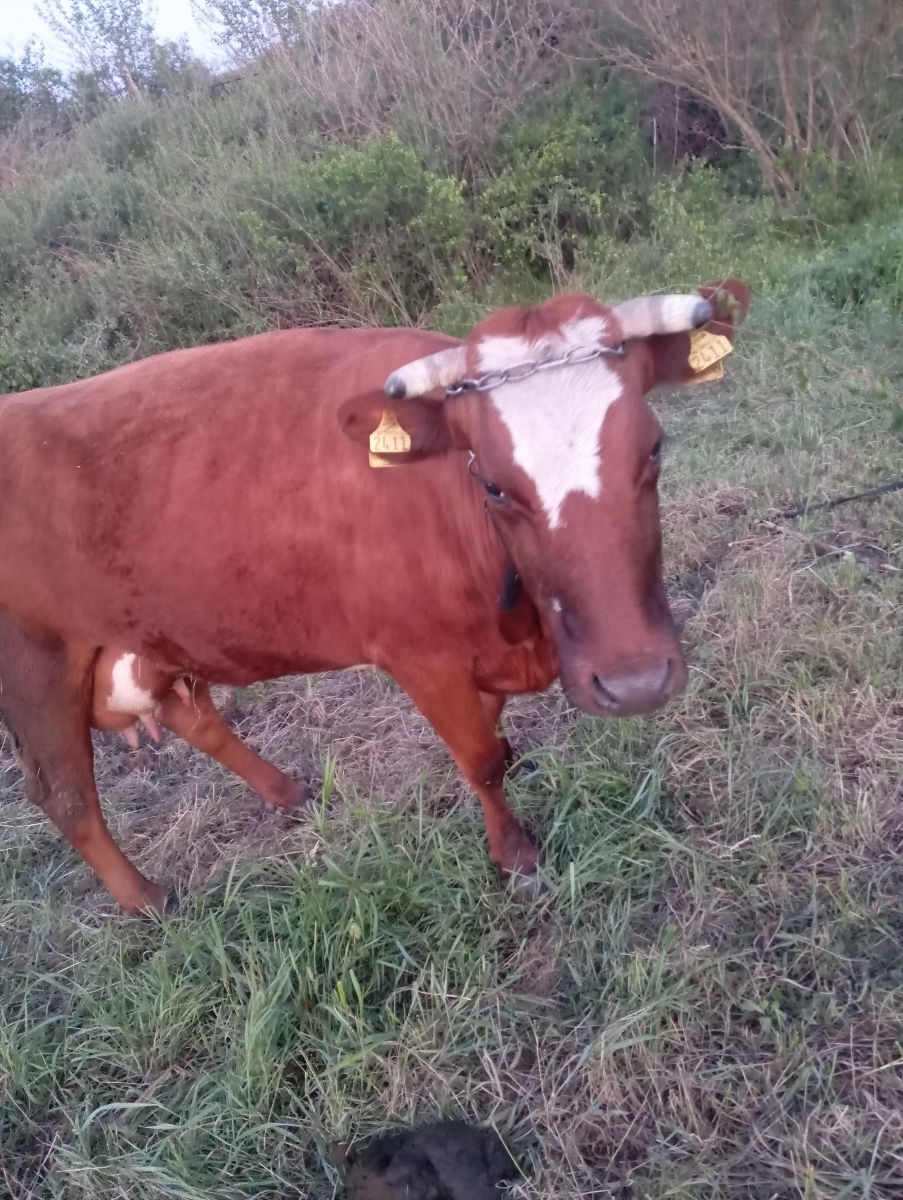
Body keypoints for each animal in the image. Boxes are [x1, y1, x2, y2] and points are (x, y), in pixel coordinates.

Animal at [0, 280, 749, 912]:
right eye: (494, 485)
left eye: (653, 448)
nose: (636, 681)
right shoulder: (419, 658)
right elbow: (480, 762)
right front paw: (515, 857)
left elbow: (493, 738)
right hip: (37, 670)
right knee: (64, 793)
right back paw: (146, 900)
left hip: (149, 641)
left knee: (194, 717)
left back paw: (287, 792)